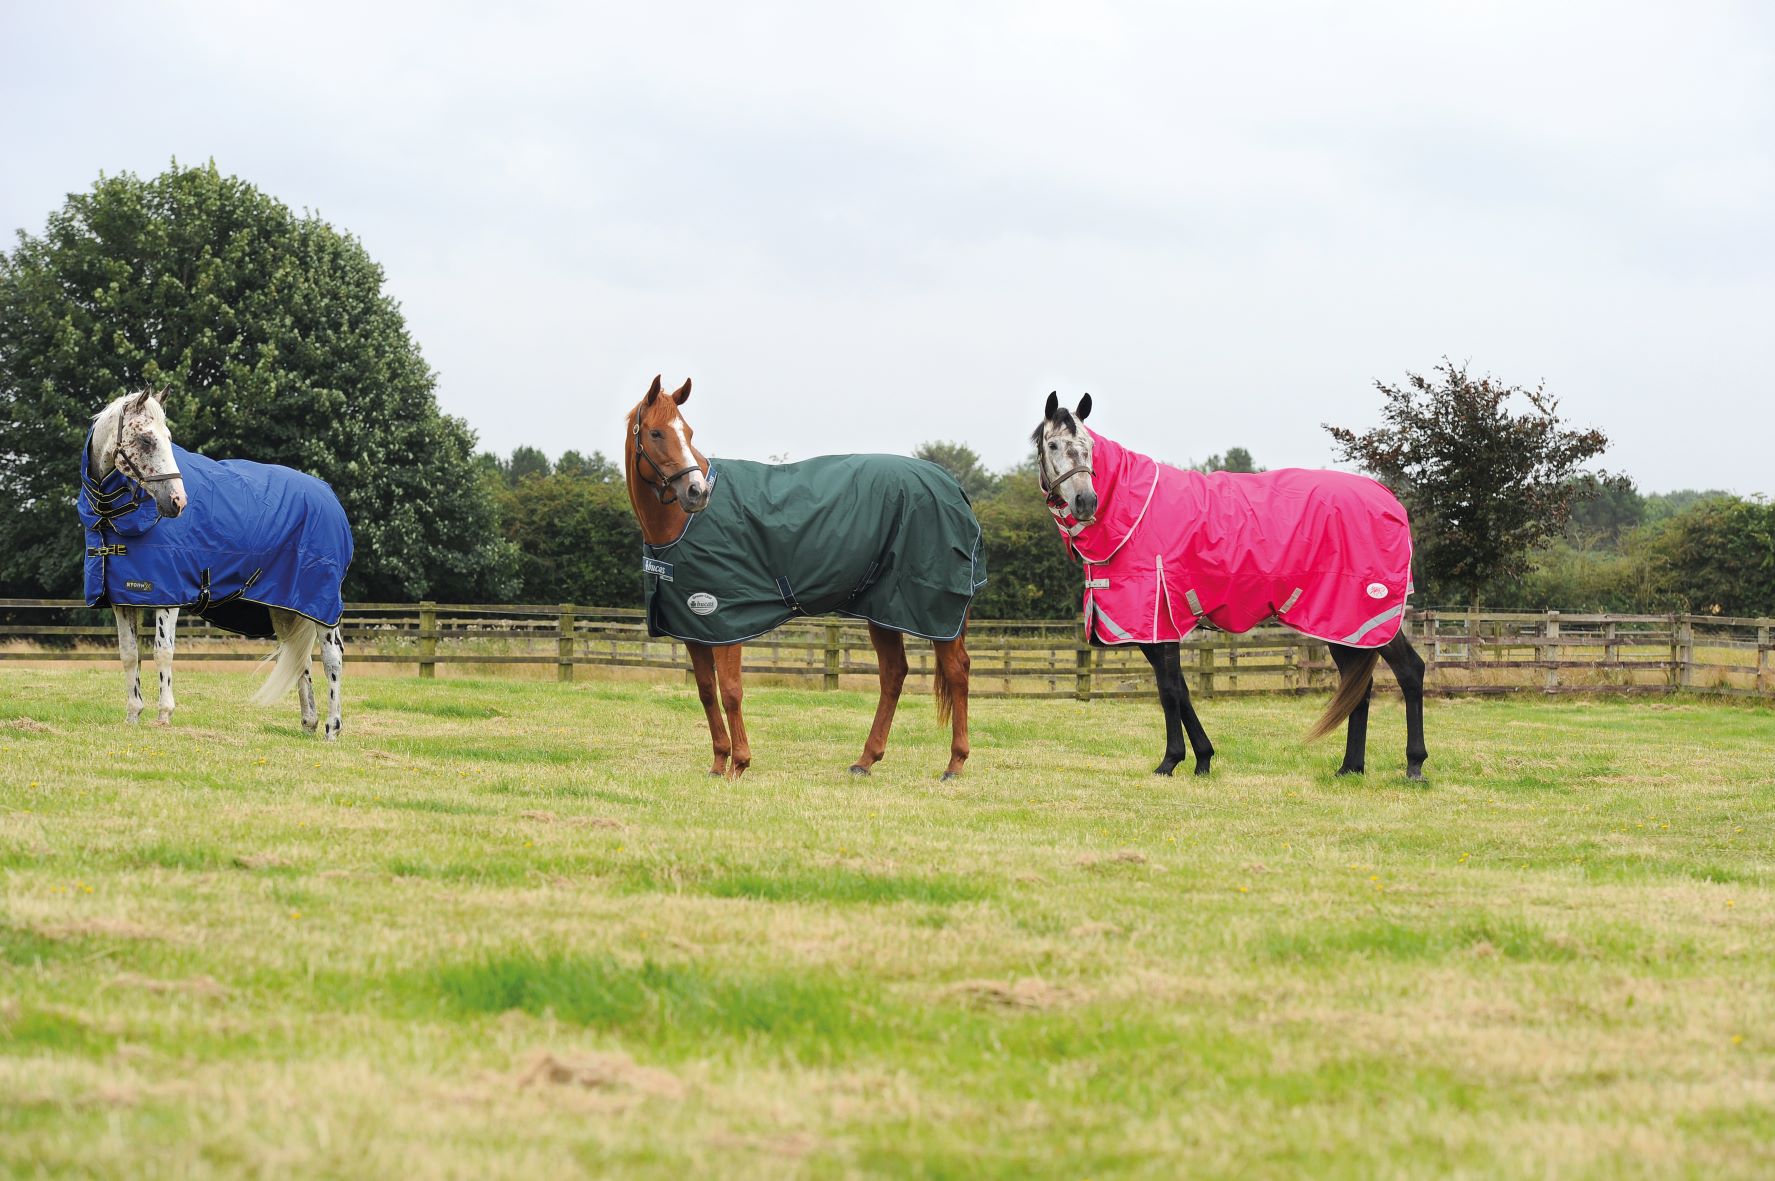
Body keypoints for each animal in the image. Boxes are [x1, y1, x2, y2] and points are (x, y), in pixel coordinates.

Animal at [78, 390, 354, 738]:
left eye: (168, 439)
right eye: (145, 439)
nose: (178, 502)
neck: (114, 517)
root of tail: (328, 497)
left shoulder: (168, 597)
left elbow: (162, 652)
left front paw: (164, 715)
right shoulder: (122, 599)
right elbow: (129, 655)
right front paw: (133, 715)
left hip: (321, 601)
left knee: (332, 658)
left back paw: (332, 728)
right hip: (286, 606)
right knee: (299, 658)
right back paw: (309, 724)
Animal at [624, 376, 984, 779]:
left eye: (687, 432)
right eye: (656, 433)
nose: (696, 492)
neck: (680, 525)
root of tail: (953, 487)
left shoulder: (724, 620)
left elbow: (731, 690)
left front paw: (739, 765)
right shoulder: (694, 627)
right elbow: (705, 691)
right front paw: (718, 764)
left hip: (935, 611)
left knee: (957, 671)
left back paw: (955, 764)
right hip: (884, 608)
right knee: (894, 673)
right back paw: (865, 760)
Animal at [1033, 392, 1429, 780]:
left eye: (1088, 446)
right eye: (1053, 445)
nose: (1086, 501)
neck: (1134, 514)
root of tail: (1390, 500)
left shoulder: (1159, 620)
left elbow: (1169, 690)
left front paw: (1170, 761)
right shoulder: (1155, 628)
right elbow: (1183, 688)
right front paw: (1203, 759)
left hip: (1369, 616)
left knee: (1410, 671)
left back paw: (1414, 765)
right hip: (1341, 626)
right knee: (1358, 686)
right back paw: (1349, 768)